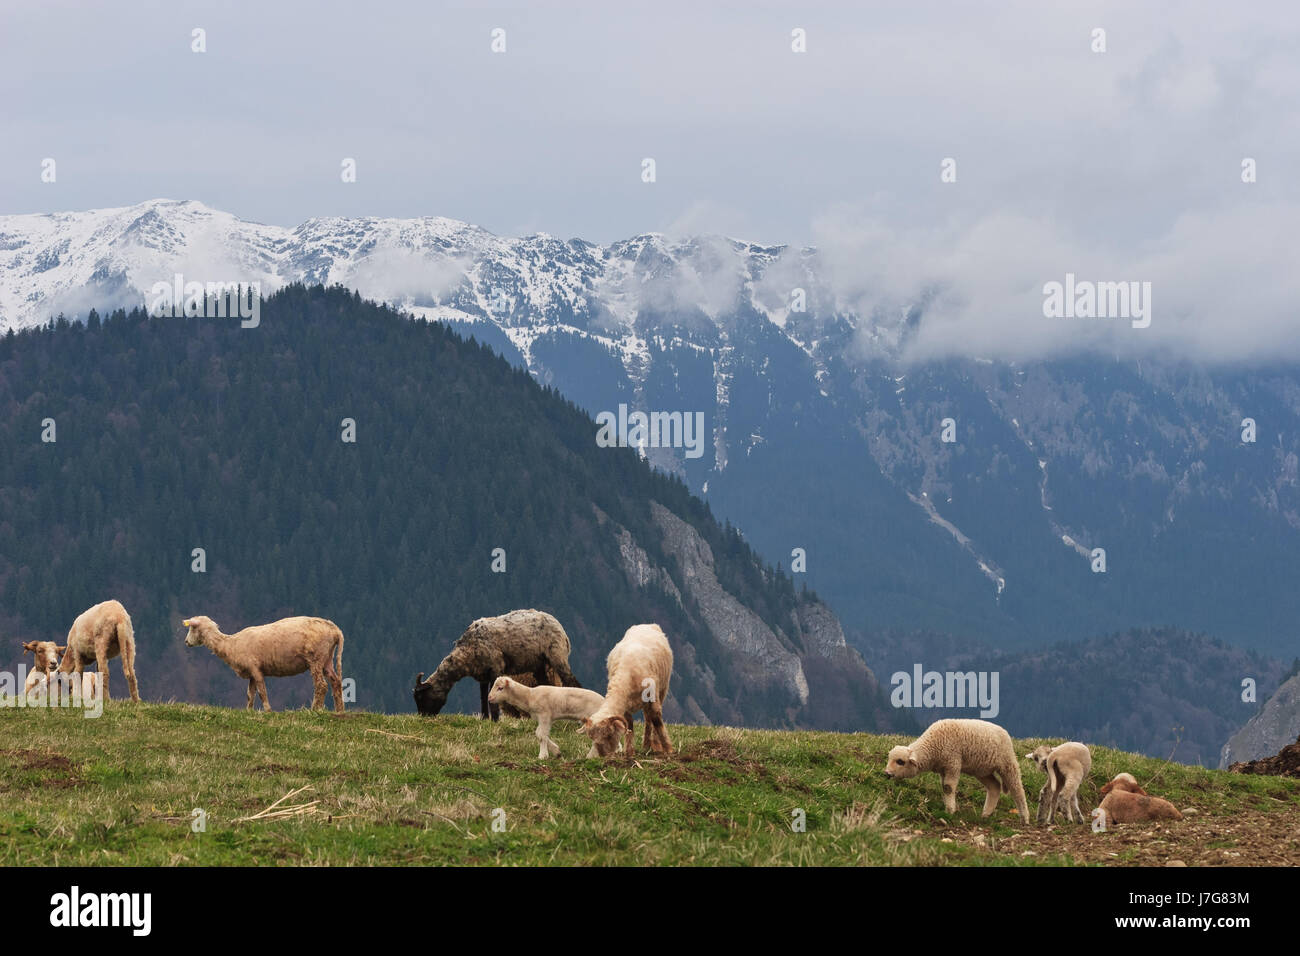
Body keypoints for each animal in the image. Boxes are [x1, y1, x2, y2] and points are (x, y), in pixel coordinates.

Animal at [182, 615, 344, 713]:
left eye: (192, 627)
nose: (186, 642)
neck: (231, 644)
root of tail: (335, 629)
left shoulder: (256, 669)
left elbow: (261, 692)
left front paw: (267, 710)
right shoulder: (251, 673)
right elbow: (250, 694)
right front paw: (248, 711)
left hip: (315, 659)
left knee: (321, 685)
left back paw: (314, 710)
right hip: (326, 659)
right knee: (336, 682)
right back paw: (339, 710)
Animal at [413, 609, 580, 721]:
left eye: (421, 697)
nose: (423, 717)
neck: (467, 650)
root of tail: (560, 628)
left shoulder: (495, 669)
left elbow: (492, 697)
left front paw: (494, 720)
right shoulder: (482, 675)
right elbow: (482, 697)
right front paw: (484, 718)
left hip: (556, 656)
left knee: (572, 682)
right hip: (538, 665)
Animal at [579, 623, 673, 758]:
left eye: (608, 735)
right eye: (591, 738)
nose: (603, 756)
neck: (625, 674)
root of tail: (647, 624)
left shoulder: (652, 696)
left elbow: (657, 720)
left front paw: (668, 749)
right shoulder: (626, 705)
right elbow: (630, 726)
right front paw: (629, 752)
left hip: (663, 686)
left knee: (651, 718)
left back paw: (655, 745)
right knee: (647, 718)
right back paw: (646, 745)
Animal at [884, 718, 1030, 821]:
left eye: (900, 761)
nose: (887, 774)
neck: (932, 747)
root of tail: (1004, 731)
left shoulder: (953, 763)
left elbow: (948, 787)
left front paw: (950, 811)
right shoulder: (943, 769)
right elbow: (944, 787)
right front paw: (948, 806)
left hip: (1007, 763)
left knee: (1017, 788)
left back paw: (1024, 817)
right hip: (982, 770)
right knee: (995, 786)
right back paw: (986, 814)